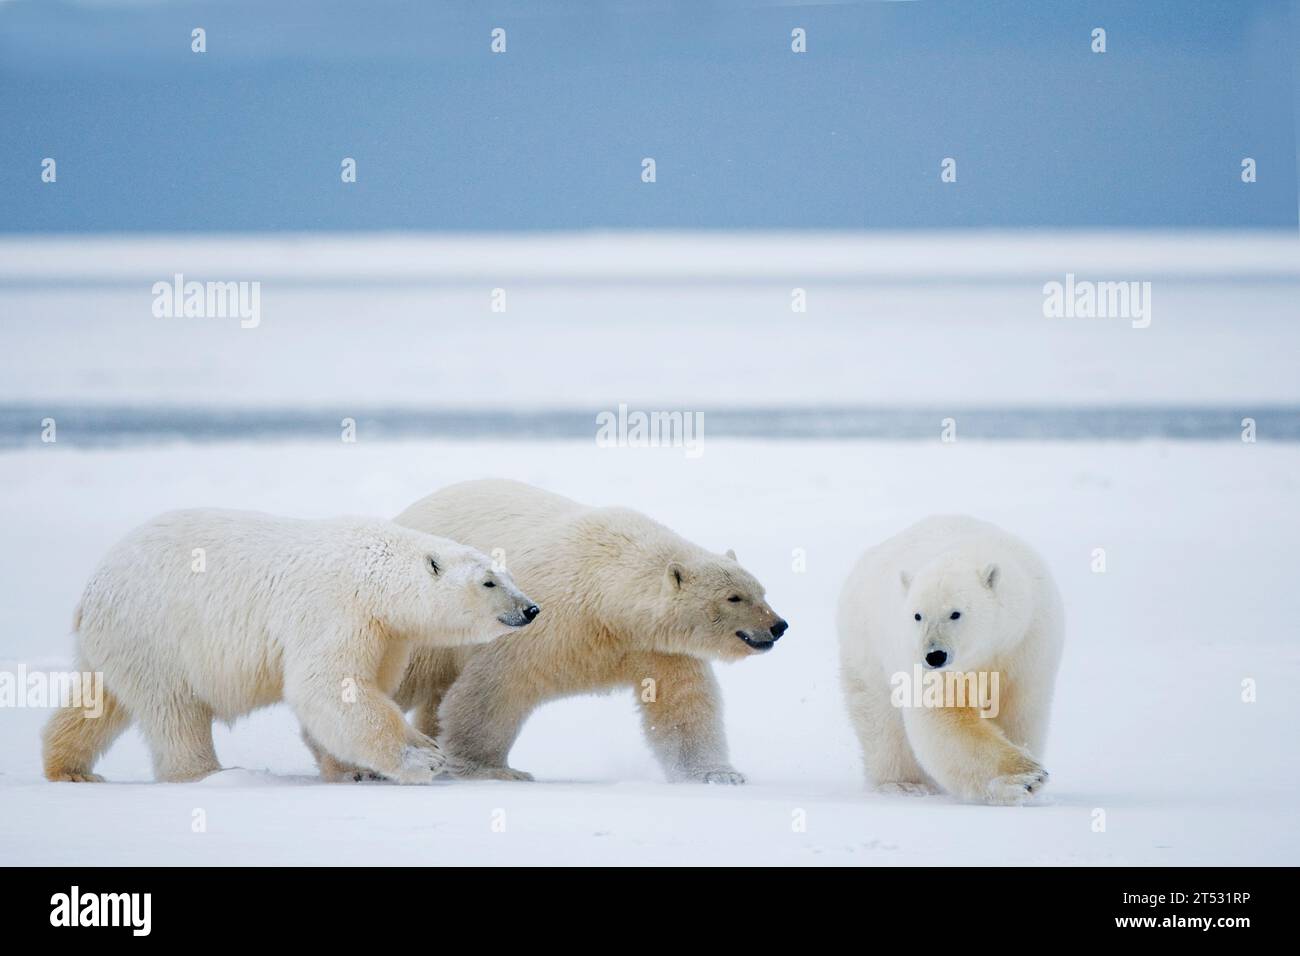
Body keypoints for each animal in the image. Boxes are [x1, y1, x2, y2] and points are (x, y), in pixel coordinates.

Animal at [41, 508, 539, 784]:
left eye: (509, 573)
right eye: (489, 581)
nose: (531, 608)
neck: (376, 574)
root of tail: (93, 588)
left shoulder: (388, 634)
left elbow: (358, 690)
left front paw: (358, 768)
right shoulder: (336, 609)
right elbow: (329, 687)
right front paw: (422, 759)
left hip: (118, 640)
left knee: (96, 701)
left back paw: (71, 768)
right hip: (155, 631)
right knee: (174, 709)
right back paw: (207, 774)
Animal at [307, 479, 789, 784]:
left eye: (761, 590)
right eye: (734, 598)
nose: (778, 625)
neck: (606, 597)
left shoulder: (655, 647)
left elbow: (683, 706)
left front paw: (718, 774)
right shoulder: (542, 618)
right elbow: (494, 688)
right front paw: (494, 769)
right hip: (427, 611)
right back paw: (349, 762)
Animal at [837, 515, 1063, 805]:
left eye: (955, 613)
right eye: (917, 615)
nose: (934, 656)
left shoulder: (1028, 641)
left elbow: (1019, 709)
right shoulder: (928, 663)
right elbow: (944, 715)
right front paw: (1025, 777)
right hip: (866, 647)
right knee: (880, 719)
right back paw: (902, 784)